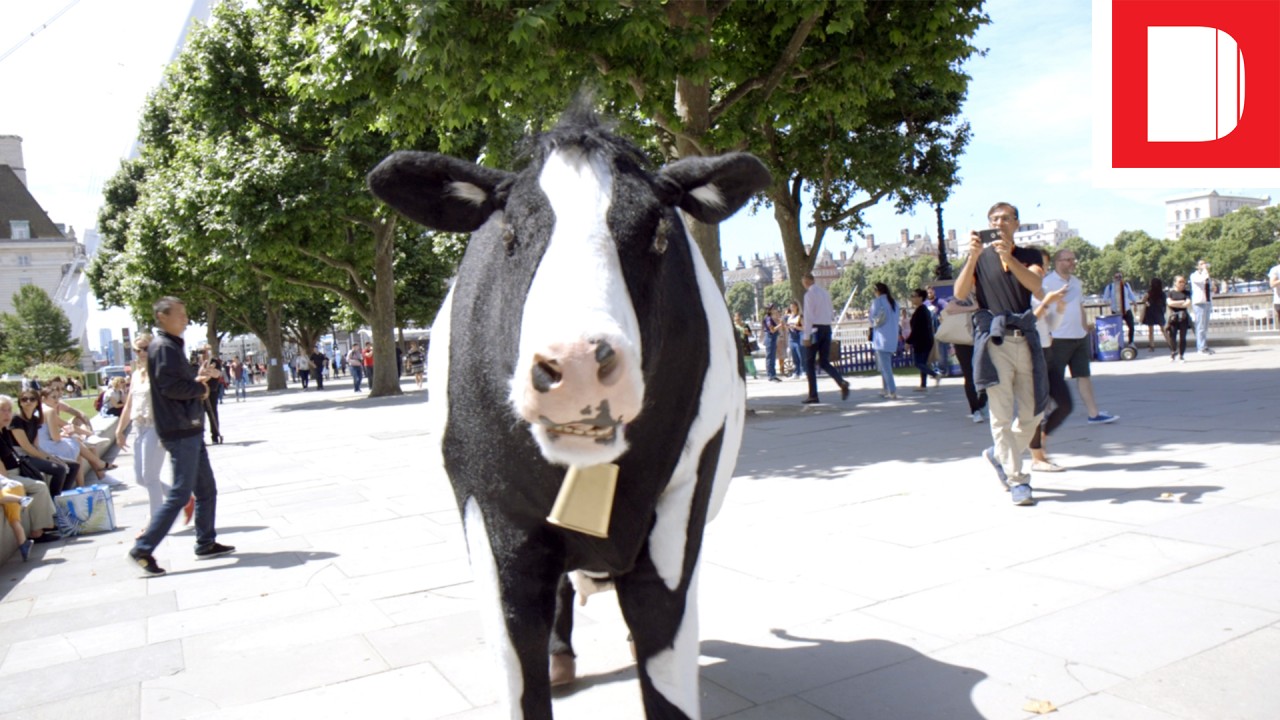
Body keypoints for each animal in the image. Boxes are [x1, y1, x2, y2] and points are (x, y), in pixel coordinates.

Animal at [368, 108, 770, 719]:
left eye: (658, 233)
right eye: (510, 235)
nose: (578, 362)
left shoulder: (683, 501)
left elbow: (662, 643)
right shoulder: (493, 514)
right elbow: (520, 660)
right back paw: (560, 657)